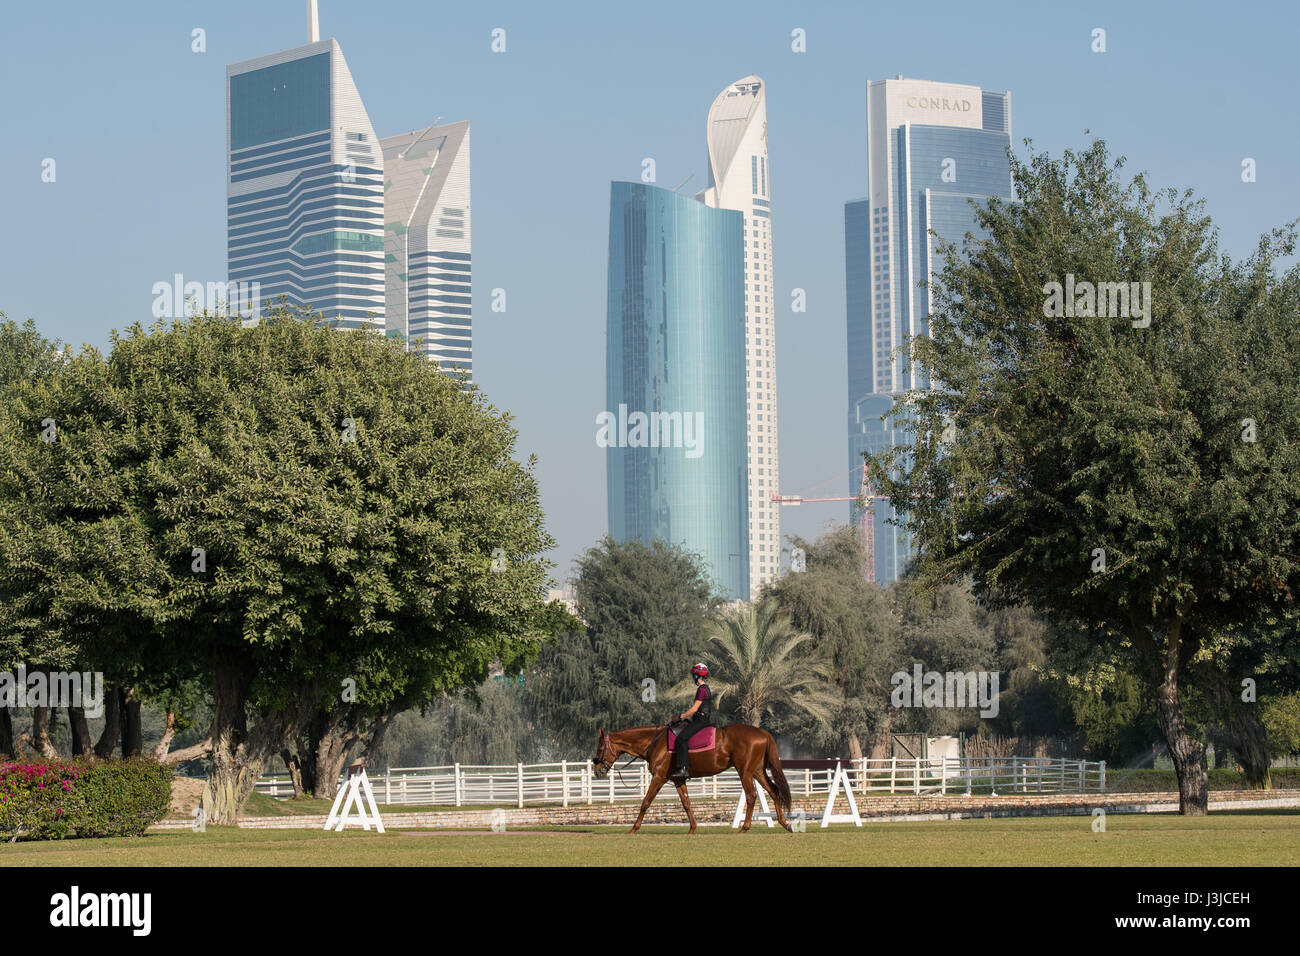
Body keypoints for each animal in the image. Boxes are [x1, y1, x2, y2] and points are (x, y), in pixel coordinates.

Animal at [592, 724, 793, 833]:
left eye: (600, 747)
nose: (597, 770)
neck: (656, 742)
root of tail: (762, 733)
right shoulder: (678, 780)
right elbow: (686, 803)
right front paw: (692, 828)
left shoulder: (659, 778)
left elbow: (645, 802)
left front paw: (634, 828)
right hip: (757, 772)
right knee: (774, 792)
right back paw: (785, 824)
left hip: (745, 772)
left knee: (751, 796)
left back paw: (745, 827)